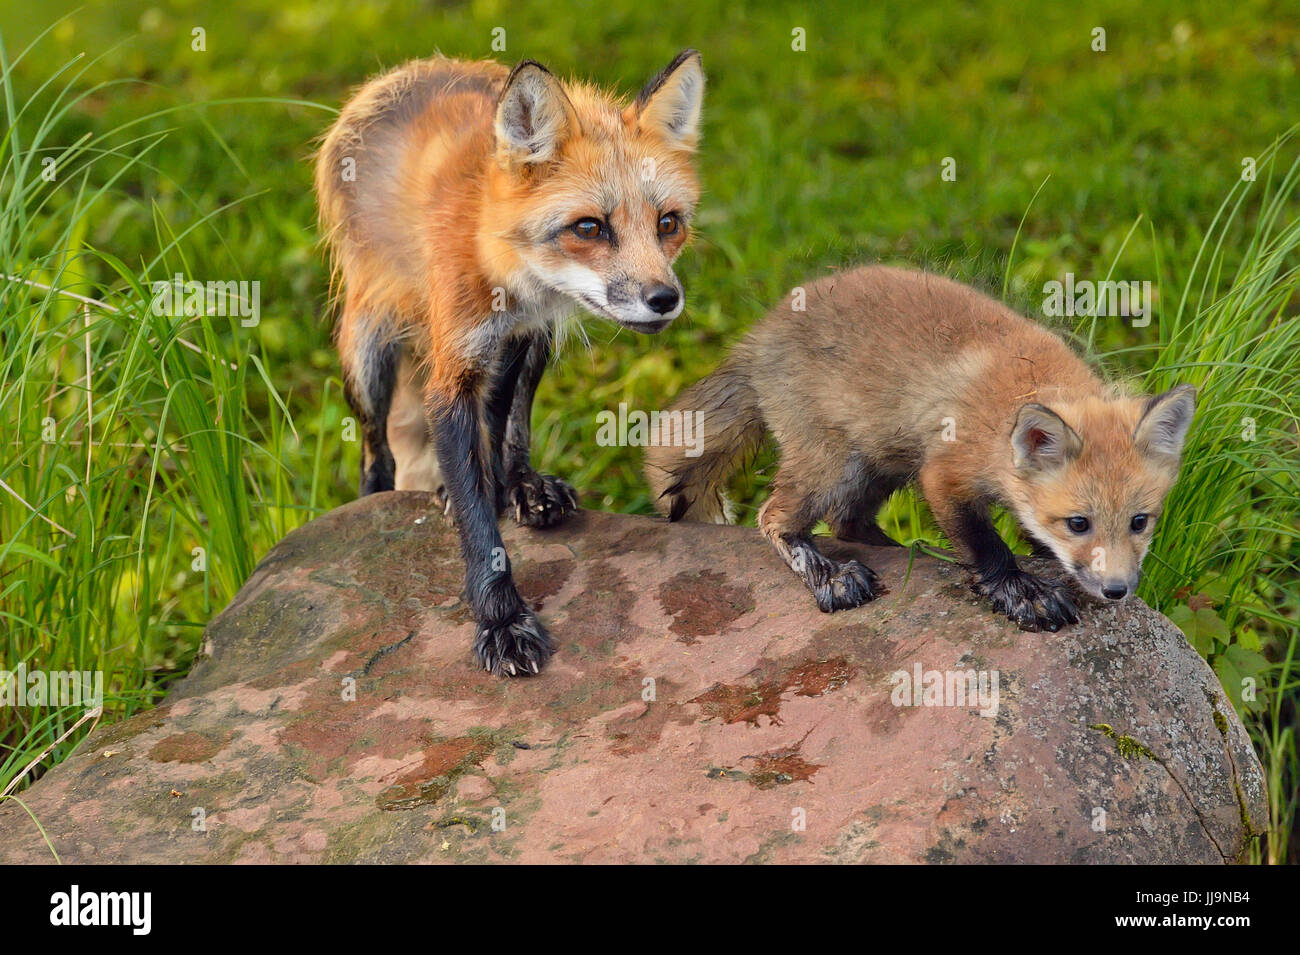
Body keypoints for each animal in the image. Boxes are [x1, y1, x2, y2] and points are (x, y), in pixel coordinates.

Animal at [316, 51, 705, 676]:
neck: (503, 265)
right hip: (367, 348)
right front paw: (500, 620)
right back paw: (385, 495)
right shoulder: (454, 368)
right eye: (589, 227)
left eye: (667, 223)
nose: (664, 299)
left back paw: (522, 483)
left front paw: (503, 489)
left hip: (531, 347)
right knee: (376, 452)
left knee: (510, 425)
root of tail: (396, 73)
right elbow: (477, 516)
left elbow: (498, 431)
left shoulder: (519, 336)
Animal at [645, 266, 1196, 632]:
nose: (1117, 590)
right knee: (773, 517)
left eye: (1140, 522)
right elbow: (987, 545)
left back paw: (907, 551)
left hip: (880, 463)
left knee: (848, 522)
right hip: (835, 467)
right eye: (1079, 523)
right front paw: (1019, 591)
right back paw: (830, 575)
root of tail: (760, 335)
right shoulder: (944, 474)